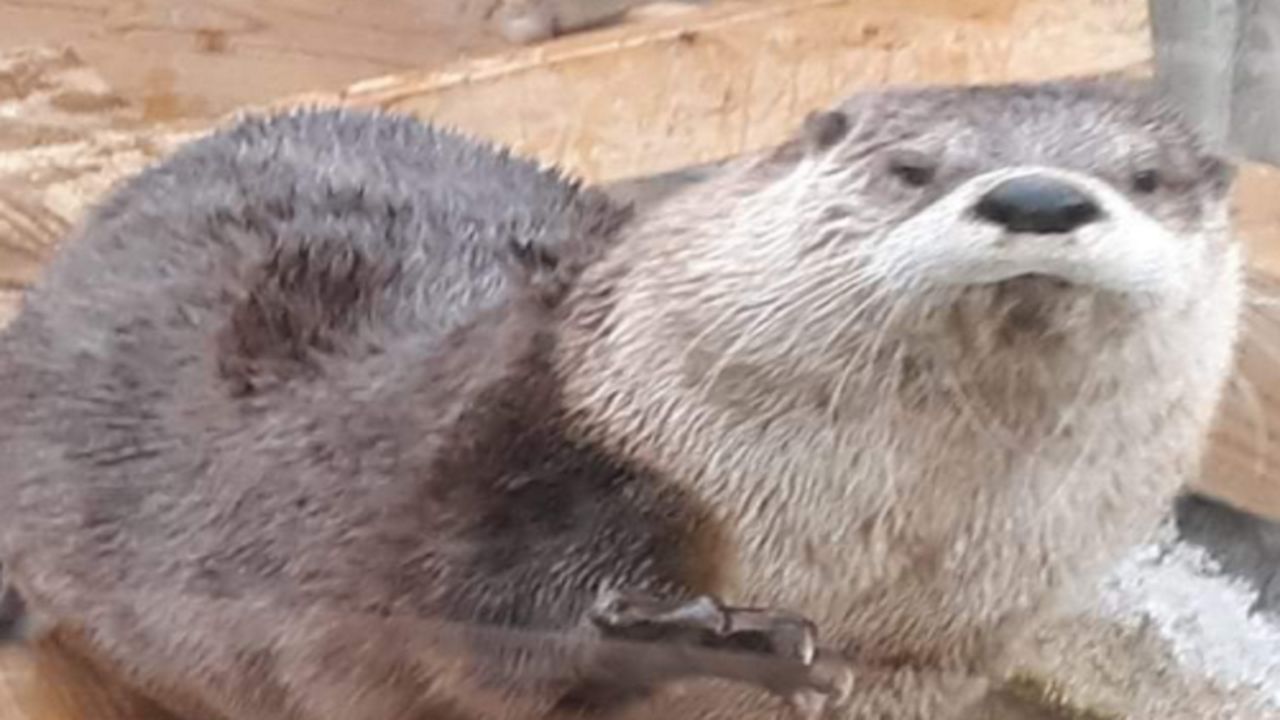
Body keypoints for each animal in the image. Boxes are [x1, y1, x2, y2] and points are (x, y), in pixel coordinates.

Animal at [0, 76, 1241, 720]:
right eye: (912, 169)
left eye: (1146, 179)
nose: (1037, 199)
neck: (846, 556)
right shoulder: (520, 447)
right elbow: (472, 615)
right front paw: (687, 629)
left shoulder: (936, 661)